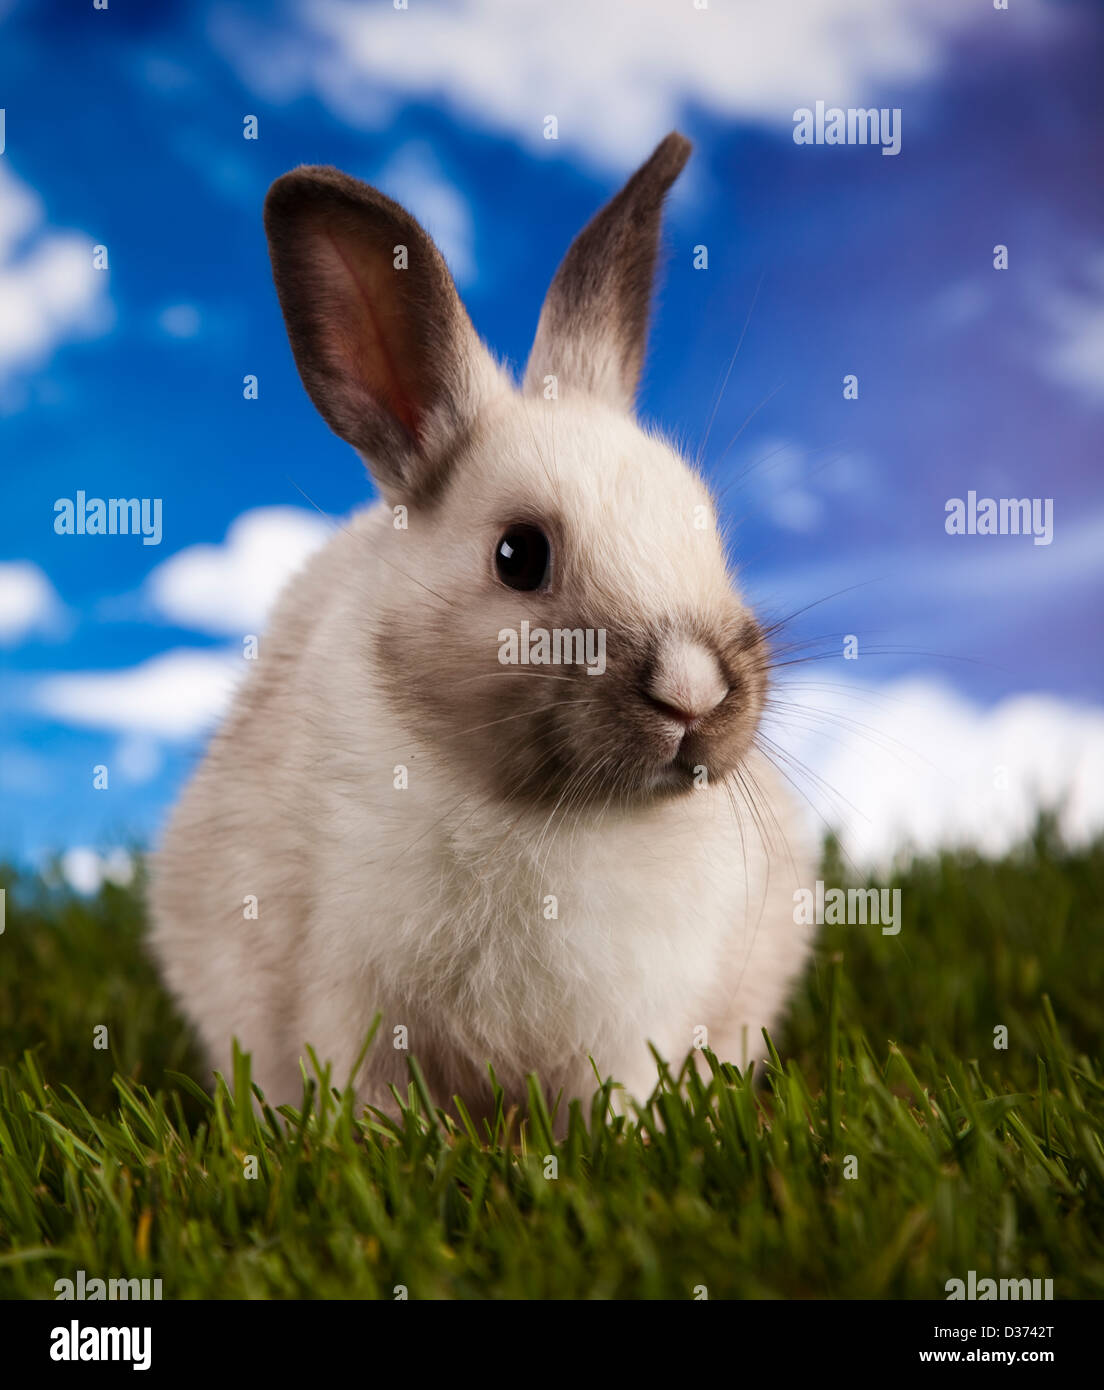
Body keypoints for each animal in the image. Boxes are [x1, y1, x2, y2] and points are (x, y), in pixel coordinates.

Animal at [149, 132, 816, 1122]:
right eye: (518, 555)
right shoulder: (344, 999)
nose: (694, 696)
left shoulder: (637, 1025)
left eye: (711, 530)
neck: (551, 812)